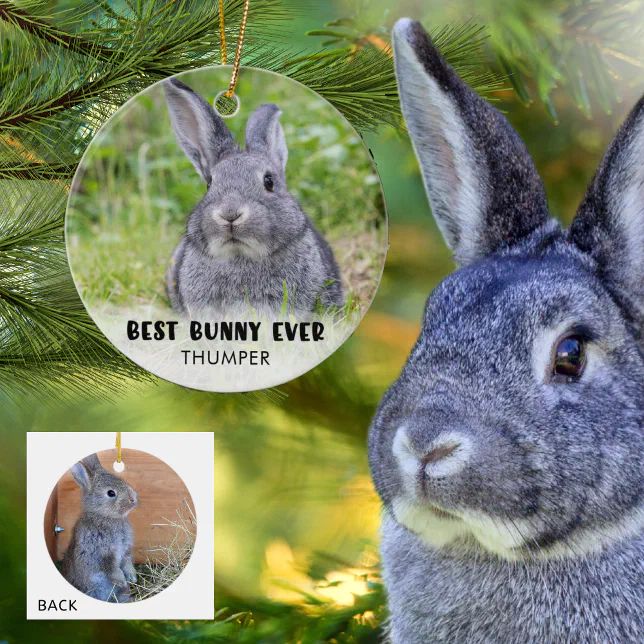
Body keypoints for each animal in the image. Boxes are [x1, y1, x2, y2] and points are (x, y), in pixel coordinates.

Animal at [61, 453, 138, 603]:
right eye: (111, 493)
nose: (133, 498)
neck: (105, 516)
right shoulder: (102, 552)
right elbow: (112, 568)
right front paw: (121, 581)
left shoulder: (126, 550)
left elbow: (126, 562)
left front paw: (132, 577)